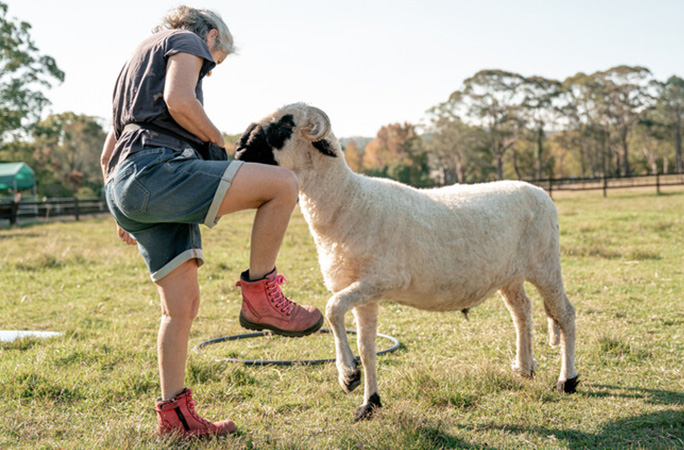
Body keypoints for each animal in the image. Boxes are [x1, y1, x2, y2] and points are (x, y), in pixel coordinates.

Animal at [234, 103, 579, 420]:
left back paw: (567, 380)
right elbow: (366, 347)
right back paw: (524, 367)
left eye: (285, 124)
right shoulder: (362, 292)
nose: (239, 148)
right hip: (510, 274)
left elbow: (332, 310)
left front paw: (348, 375)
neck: (349, 201)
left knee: (565, 313)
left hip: (546, 263)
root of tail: (539, 190)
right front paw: (369, 403)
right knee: (522, 311)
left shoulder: (380, 280)